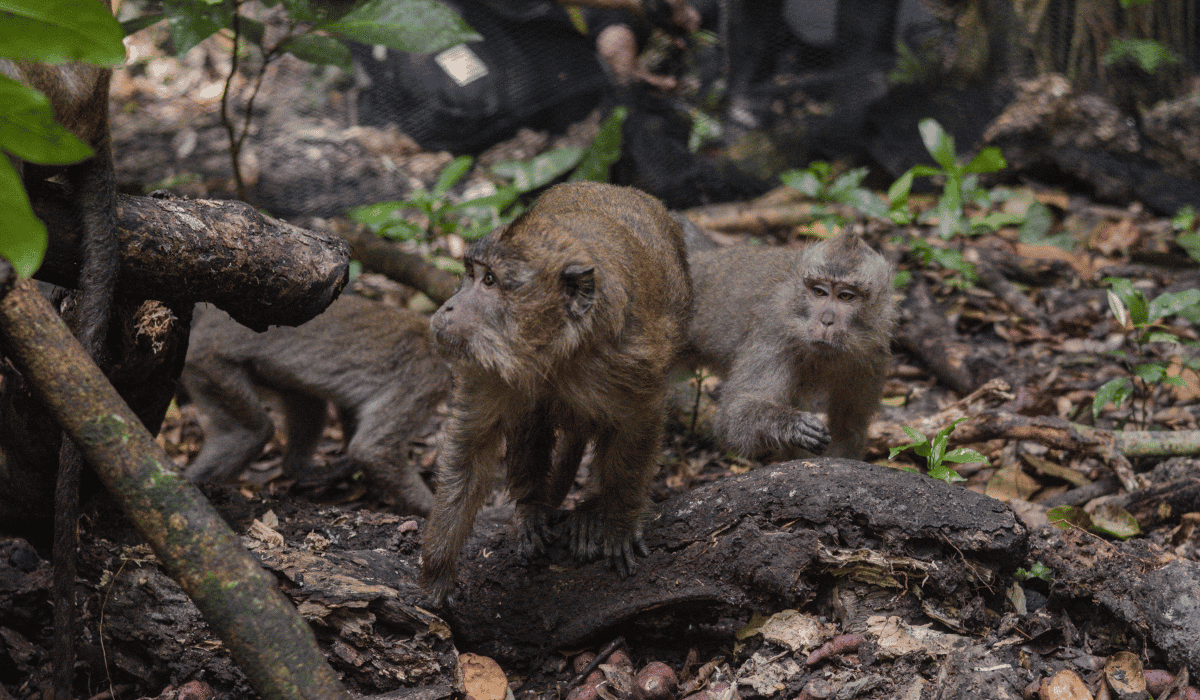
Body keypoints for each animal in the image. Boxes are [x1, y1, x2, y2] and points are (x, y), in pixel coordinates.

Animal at [180, 294, 451, 516]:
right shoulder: (422, 378)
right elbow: (372, 449)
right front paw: (432, 513)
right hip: (208, 363)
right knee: (252, 433)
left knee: (307, 403)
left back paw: (302, 469)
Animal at [419, 181, 692, 606]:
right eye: (470, 274)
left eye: (490, 281)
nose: (448, 306)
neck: (556, 350)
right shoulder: (486, 367)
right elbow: (473, 443)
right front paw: (438, 570)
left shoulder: (630, 360)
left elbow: (639, 423)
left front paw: (617, 521)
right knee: (530, 417)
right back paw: (533, 506)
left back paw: (591, 508)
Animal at [681, 232, 896, 461]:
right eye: (819, 292)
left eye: (846, 296)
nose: (826, 321)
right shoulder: (773, 332)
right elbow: (734, 415)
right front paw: (792, 425)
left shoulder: (873, 355)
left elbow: (848, 429)